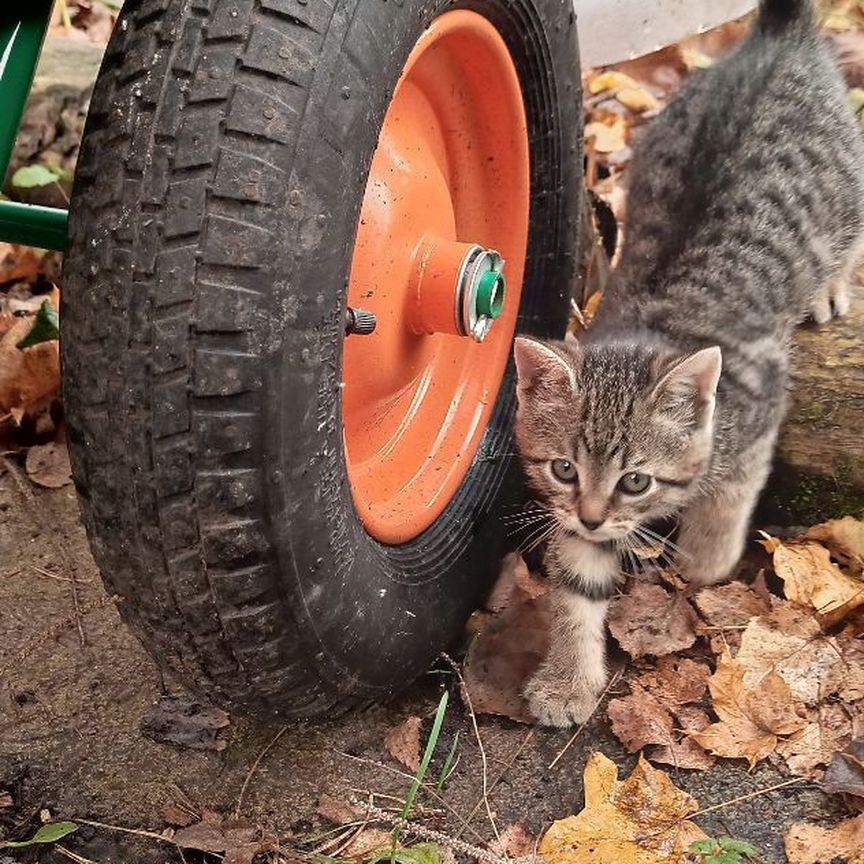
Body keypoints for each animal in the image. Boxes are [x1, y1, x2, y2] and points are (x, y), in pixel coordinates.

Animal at [512, 0, 864, 728]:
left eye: (636, 481)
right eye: (564, 470)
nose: (593, 516)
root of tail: (777, 36)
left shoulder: (757, 412)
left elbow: (727, 499)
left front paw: (705, 561)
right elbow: (576, 587)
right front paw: (569, 679)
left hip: (847, 192)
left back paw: (829, 287)